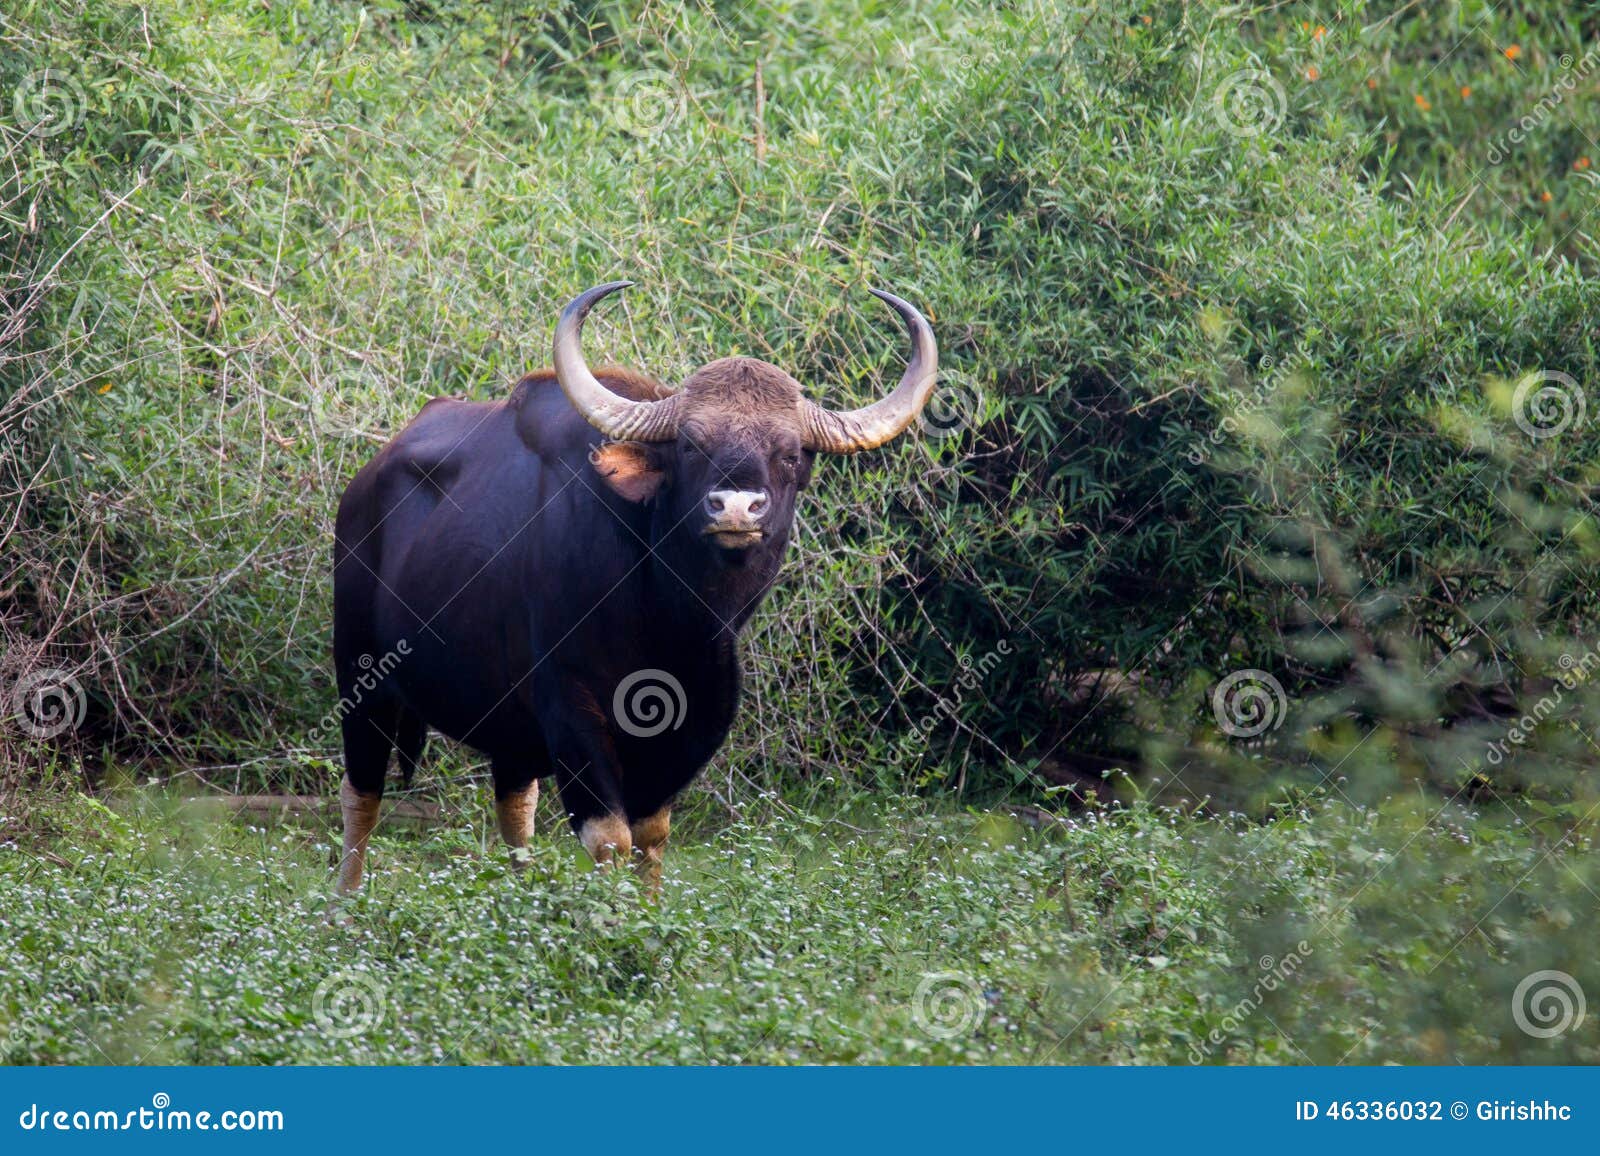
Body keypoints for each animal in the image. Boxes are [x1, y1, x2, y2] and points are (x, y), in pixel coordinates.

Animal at [331, 281, 937, 892]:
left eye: (790, 454)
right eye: (690, 446)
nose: (735, 507)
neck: (668, 617)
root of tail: (364, 485)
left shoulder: (693, 724)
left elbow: (652, 835)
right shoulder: (572, 712)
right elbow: (610, 838)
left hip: (508, 730)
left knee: (514, 807)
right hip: (361, 675)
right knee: (362, 796)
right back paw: (347, 903)